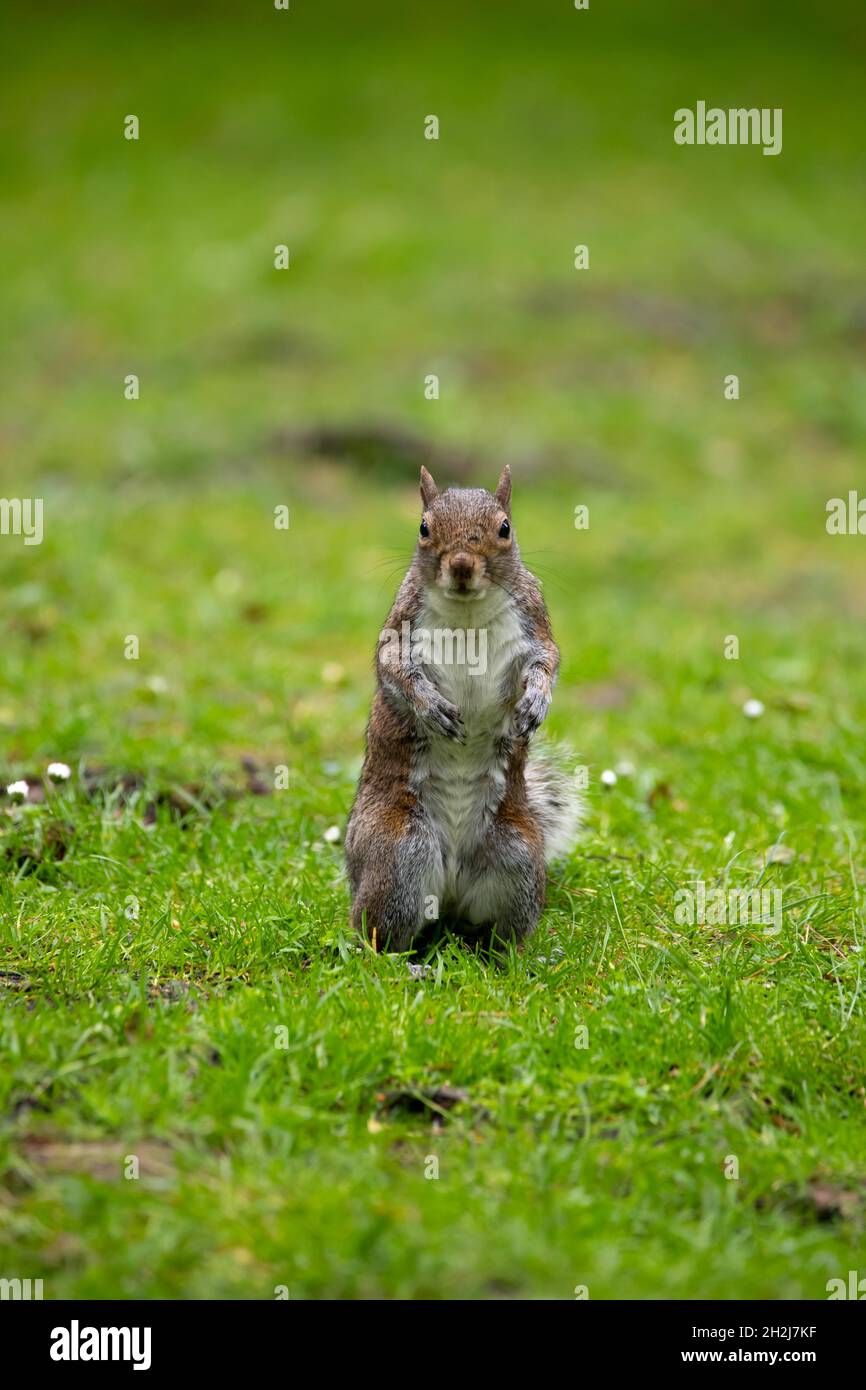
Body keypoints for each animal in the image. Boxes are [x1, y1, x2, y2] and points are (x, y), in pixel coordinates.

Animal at [345, 465, 581, 952]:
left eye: (505, 529)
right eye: (423, 528)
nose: (460, 565)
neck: (468, 610)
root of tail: (450, 891)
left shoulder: (535, 621)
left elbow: (547, 662)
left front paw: (536, 701)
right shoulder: (400, 624)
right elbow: (393, 668)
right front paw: (430, 705)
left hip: (516, 856)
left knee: (495, 931)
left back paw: (511, 956)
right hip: (399, 852)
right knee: (372, 934)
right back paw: (405, 961)